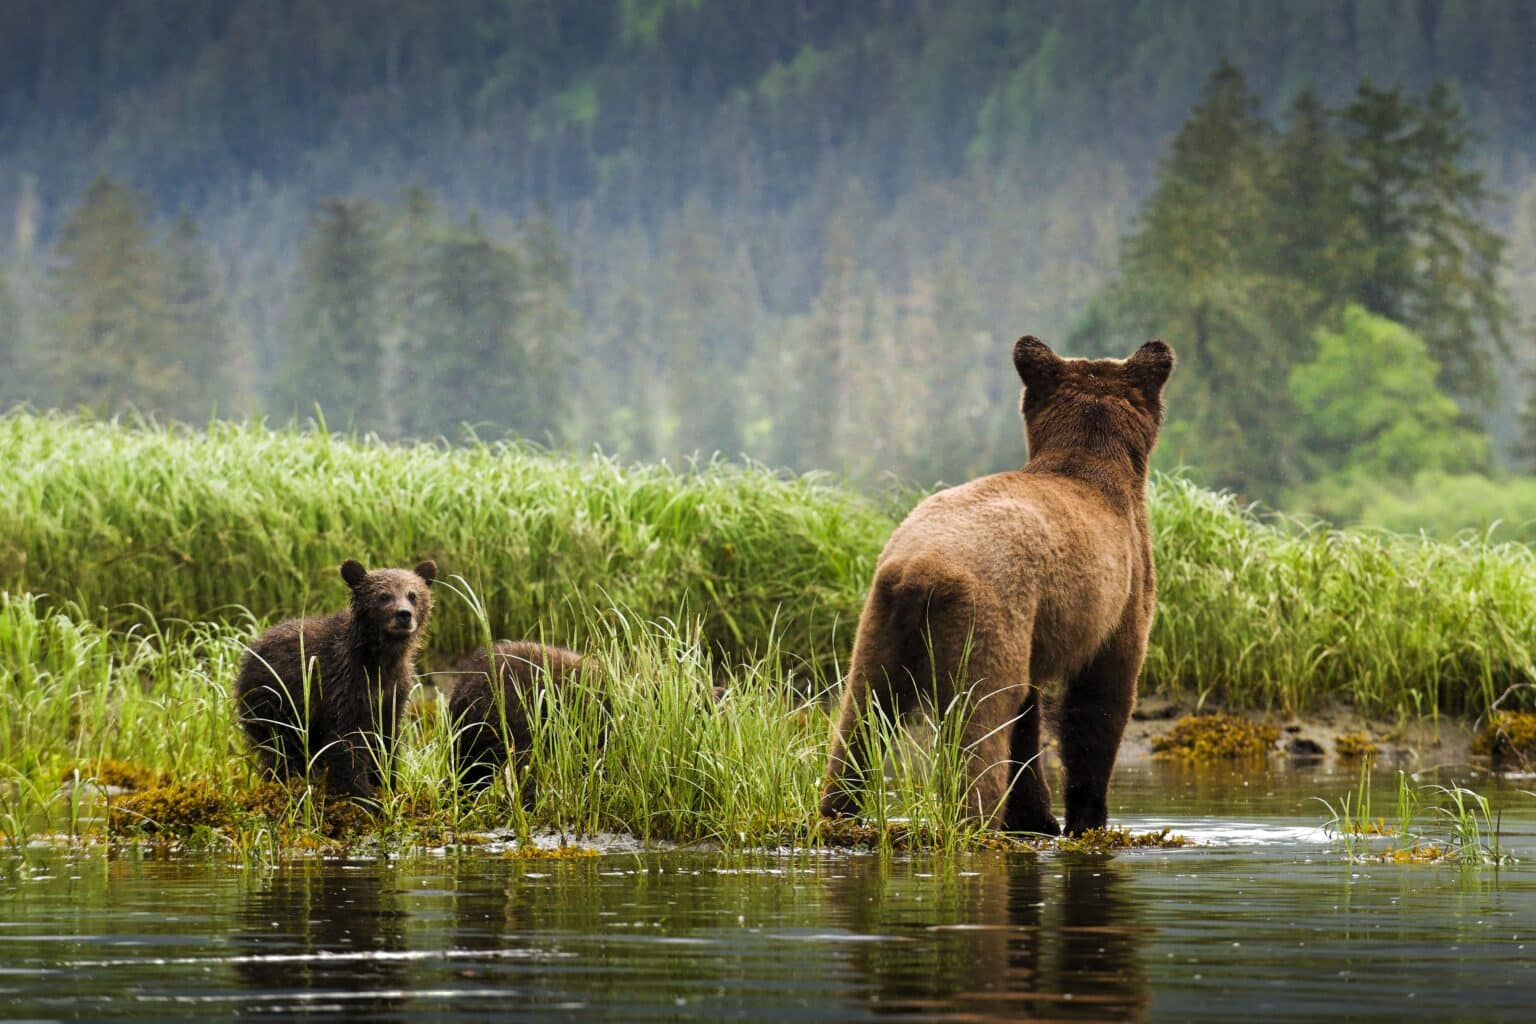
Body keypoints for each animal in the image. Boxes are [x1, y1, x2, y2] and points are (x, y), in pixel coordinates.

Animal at [233, 559, 436, 799]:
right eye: (383, 596)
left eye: (413, 594)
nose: (404, 615)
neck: (379, 658)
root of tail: (250, 648)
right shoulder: (342, 684)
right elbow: (347, 741)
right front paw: (362, 794)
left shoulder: (394, 690)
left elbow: (386, 739)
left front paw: (387, 783)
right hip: (271, 702)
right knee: (279, 747)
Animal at [819, 335, 1175, 836]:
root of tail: (921, 570)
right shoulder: (1121, 590)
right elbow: (1099, 698)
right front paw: (1084, 819)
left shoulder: (1038, 627)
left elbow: (1029, 714)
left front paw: (1036, 817)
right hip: (988, 619)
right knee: (981, 725)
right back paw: (976, 820)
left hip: (880, 622)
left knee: (863, 715)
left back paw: (838, 811)